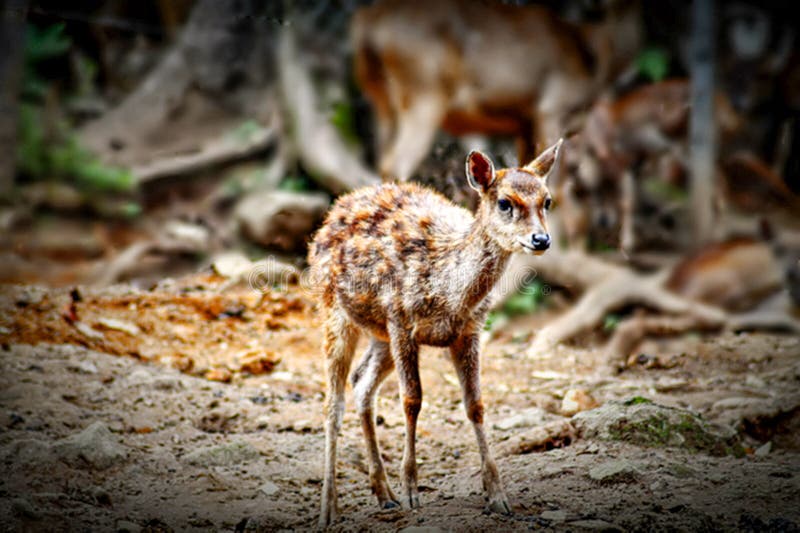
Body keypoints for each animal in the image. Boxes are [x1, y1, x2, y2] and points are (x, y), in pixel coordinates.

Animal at [308, 139, 563, 527]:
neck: (446, 289)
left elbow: (475, 404)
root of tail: (339, 206)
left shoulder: (470, 330)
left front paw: (498, 496)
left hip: (380, 334)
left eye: (547, 200)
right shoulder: (401, 320)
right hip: (335, 310)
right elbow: (412, 400)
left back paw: (383, 494)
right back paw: (329, 509)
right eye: (505, 202)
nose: (541, 239)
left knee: (362, 382)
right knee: (332, 404)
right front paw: (412, 490)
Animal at [352, 0, 640, 181]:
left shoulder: (525, 126)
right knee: (395, 165)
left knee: (379, 163)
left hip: (380, 97)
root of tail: (368, 23)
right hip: (424, 92)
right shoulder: (550, 110)